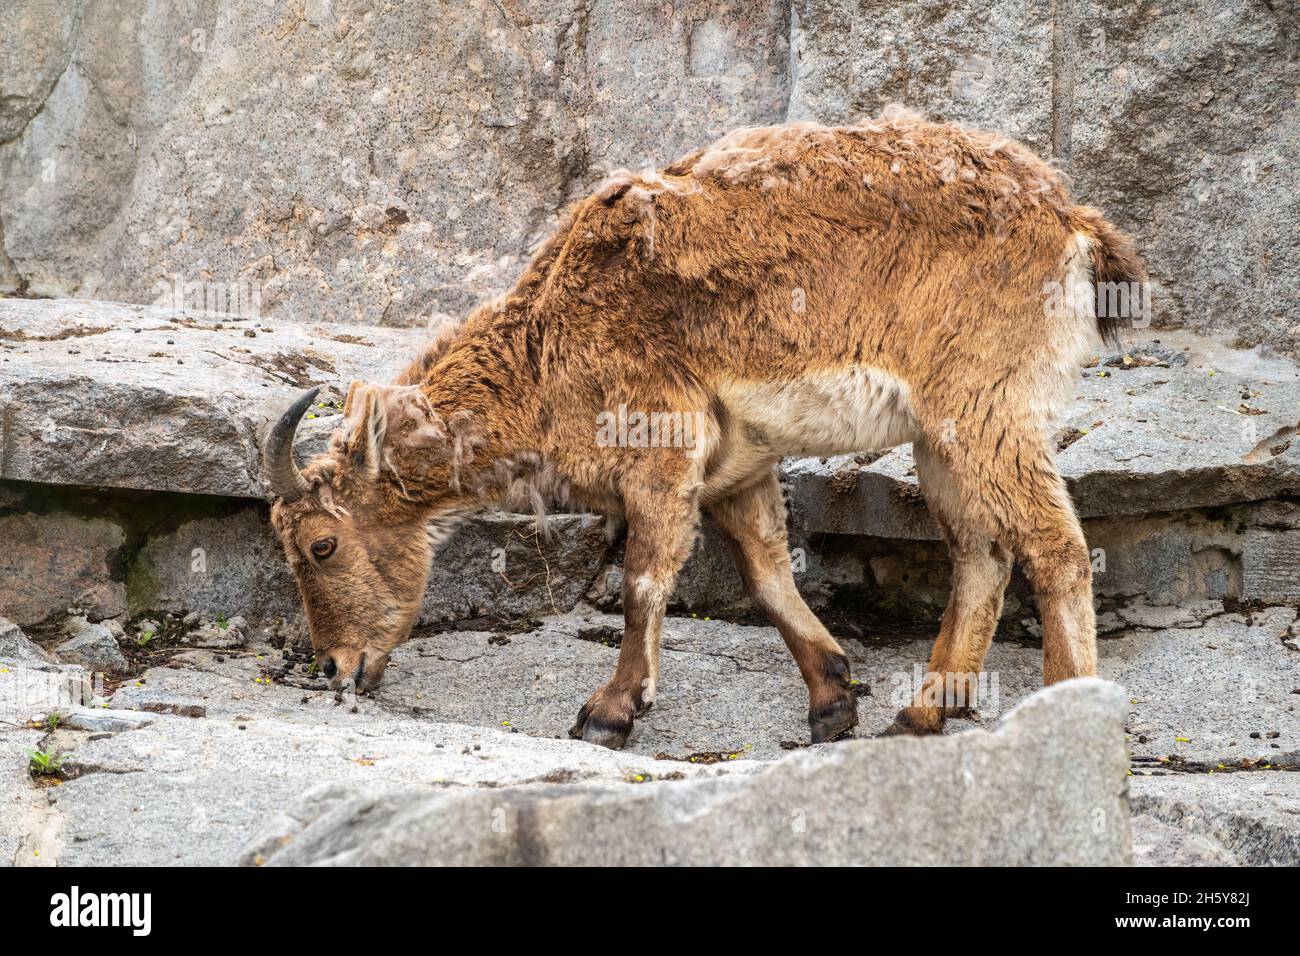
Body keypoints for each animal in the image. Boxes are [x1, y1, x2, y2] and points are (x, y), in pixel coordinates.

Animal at [265, 110, 1144, 749]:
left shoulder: (662, 446)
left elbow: (645, 579)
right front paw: (832, 701)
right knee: (981, 549)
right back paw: (922, 710)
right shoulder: (738, 465)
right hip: (942, 433)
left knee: (1056, 547)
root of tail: (1074, 225)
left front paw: (609, 711)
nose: (336, 666)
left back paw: (1063, 706)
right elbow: (766, 574)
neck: (550, 334)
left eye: (321, 544)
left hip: (987, 405)